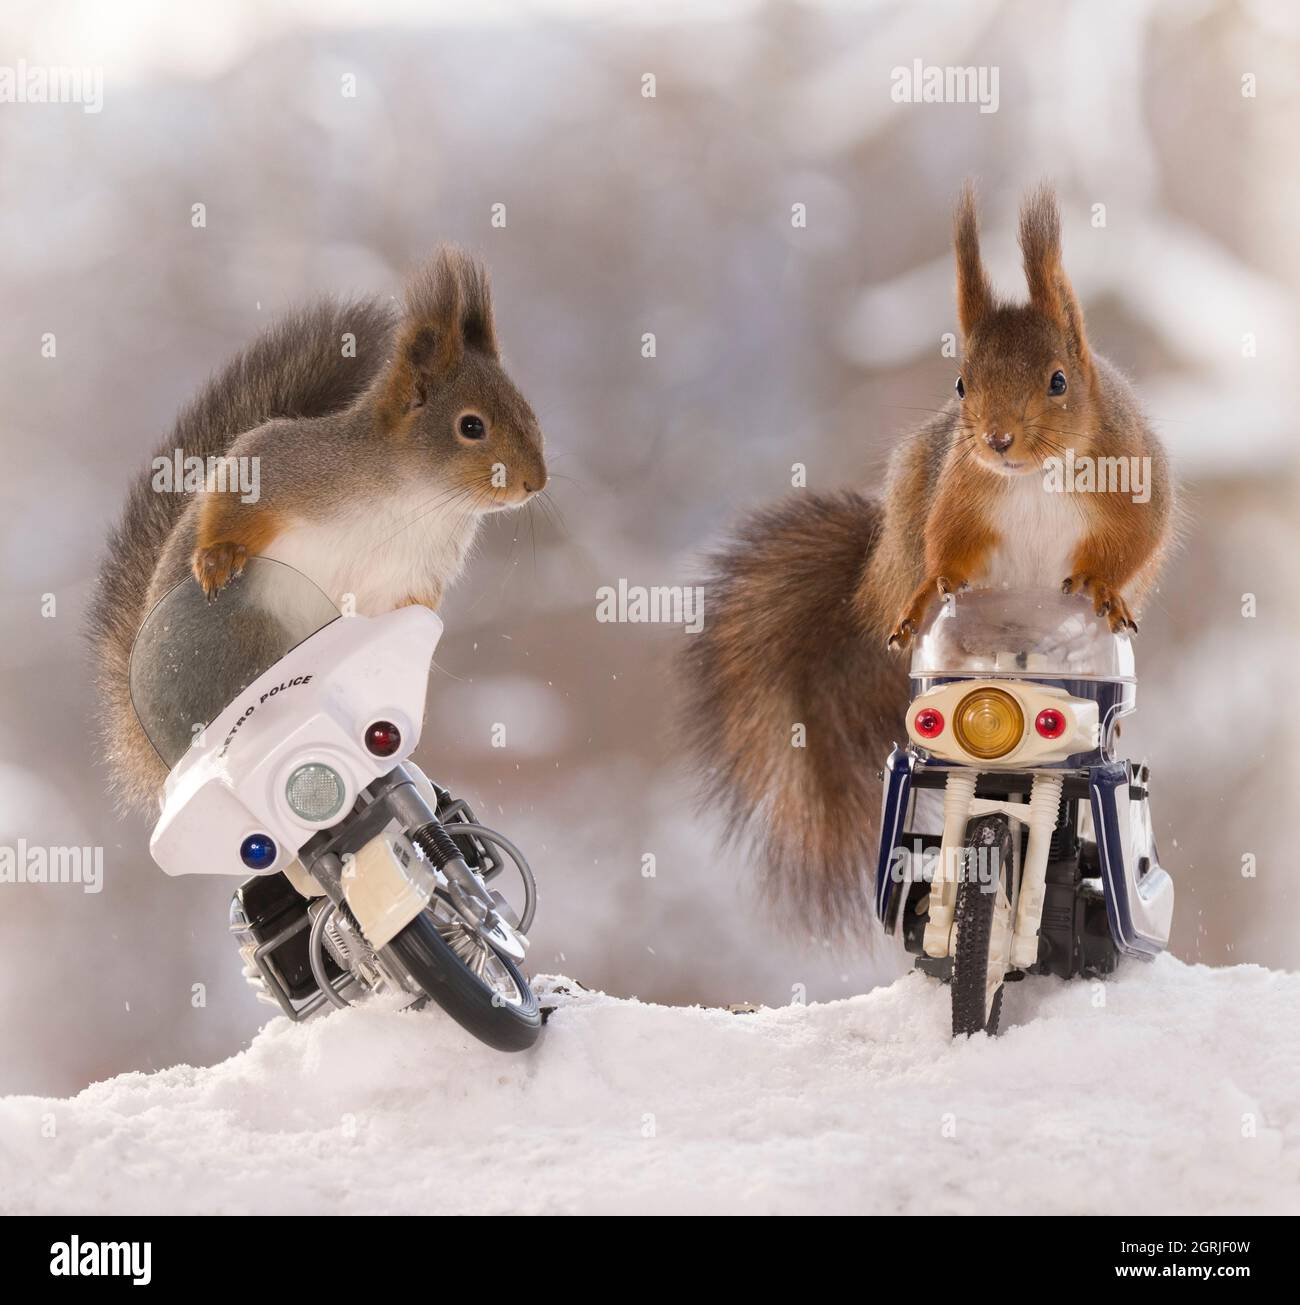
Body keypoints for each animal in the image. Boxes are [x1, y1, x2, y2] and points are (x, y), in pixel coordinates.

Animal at [88, 248, 547, 813]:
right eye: (471, 426)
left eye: (529, 412)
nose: (535, 483)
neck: (419, 497)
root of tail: (157, 758)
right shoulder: (288, 464)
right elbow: (234, 487)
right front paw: (216, 556)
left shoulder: (411, 574)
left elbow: (399, 621)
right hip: (237, 640)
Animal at [680, 183, 1174, 936]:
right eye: (962, 383)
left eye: (1059, 381)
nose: (996, 440)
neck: (1037, 474)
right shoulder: (961, 498)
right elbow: (947, 555)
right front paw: (924, 598)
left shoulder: (1132, 486)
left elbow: (1135, 542)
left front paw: (1104, 588)